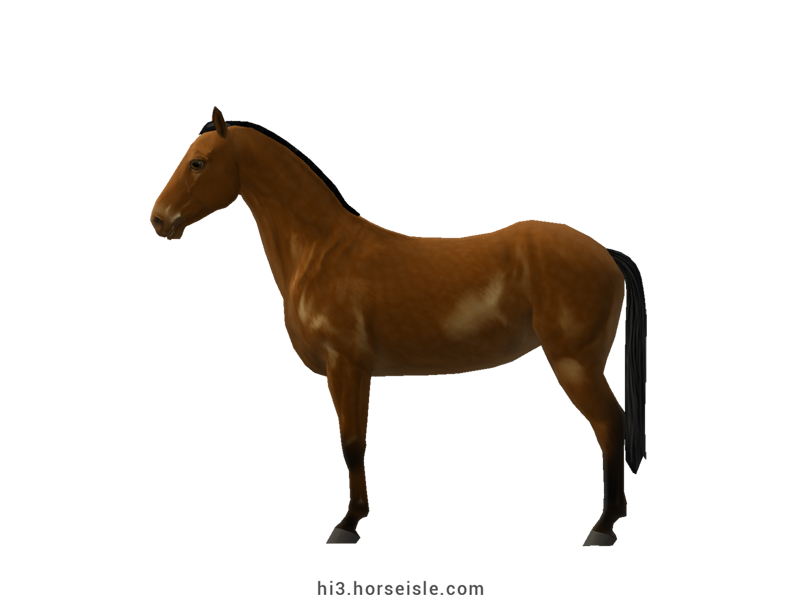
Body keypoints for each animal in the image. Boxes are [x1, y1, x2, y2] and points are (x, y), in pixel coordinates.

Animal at [151, 109, 646, 540]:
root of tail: (605, 256)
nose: (159, 218)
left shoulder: (344, 363)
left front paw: (351, 520)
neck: (322, 250)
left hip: (575, 362)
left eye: (198, 162)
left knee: (608, 425)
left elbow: (351, 439)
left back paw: (604, 525)